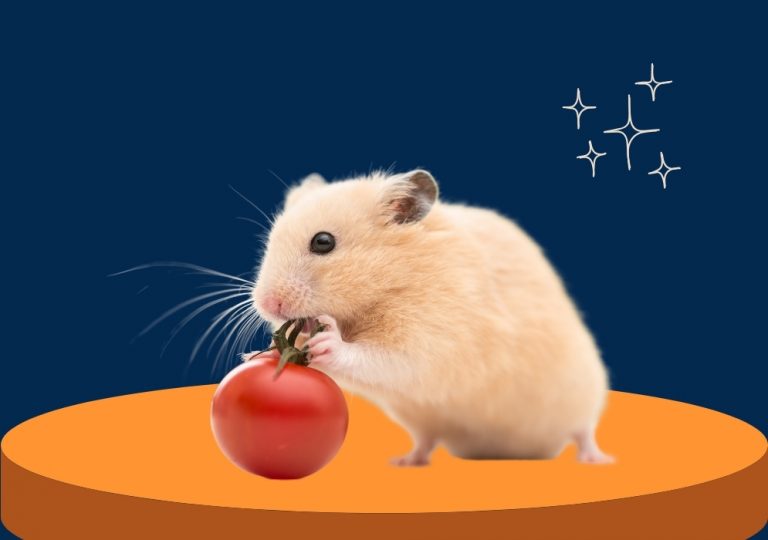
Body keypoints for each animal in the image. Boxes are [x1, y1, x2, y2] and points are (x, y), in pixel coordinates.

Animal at [246, 169, 613, 466]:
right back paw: (406, 461)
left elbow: (383, 357)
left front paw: (328, 340)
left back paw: (598, 459)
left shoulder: (433, 337)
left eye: (323, 242)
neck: (391, 282)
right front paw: (258, 353)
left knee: (584, 431)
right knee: (426, 440)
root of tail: (519, 452)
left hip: (583, 391)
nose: (268, 304)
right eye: (269, 242)